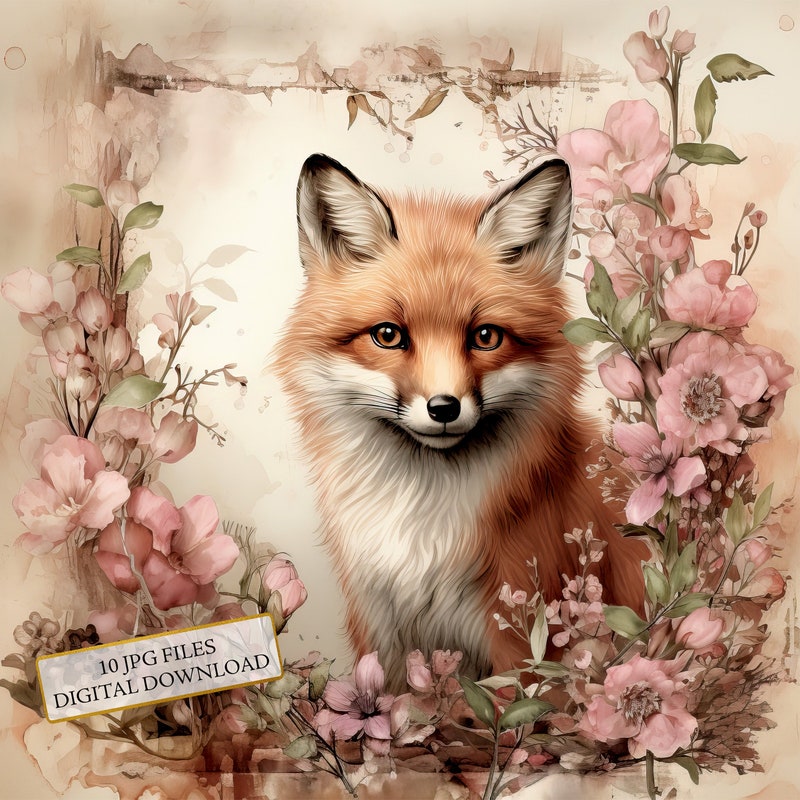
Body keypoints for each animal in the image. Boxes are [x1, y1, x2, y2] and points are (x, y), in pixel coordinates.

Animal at [274, 153, 647, 693]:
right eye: (388, 335)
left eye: (485, 336)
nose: (444, 408)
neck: (421, 521)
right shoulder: (379, 630)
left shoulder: (521, 636)